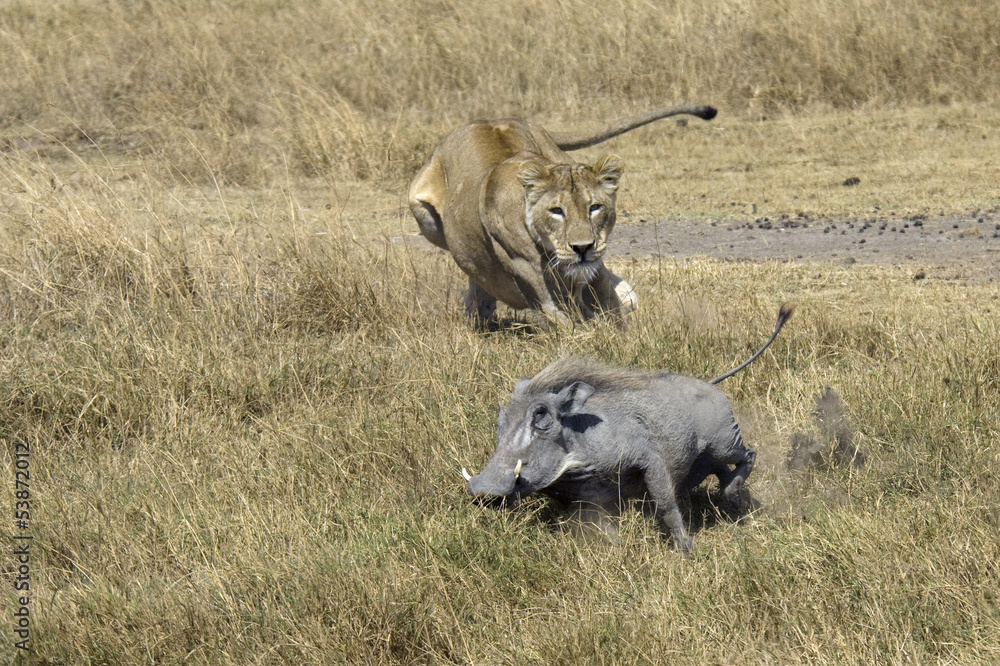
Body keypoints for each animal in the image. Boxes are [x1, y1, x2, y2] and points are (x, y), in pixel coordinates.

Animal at [408, 103, 717, 328]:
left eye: (595, 208)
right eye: (557, 211)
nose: (583, 248)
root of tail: (494, 117)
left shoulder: (596, 277)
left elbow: (613, 316)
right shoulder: (547, 298)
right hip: (424, 215)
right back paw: (478, 308)